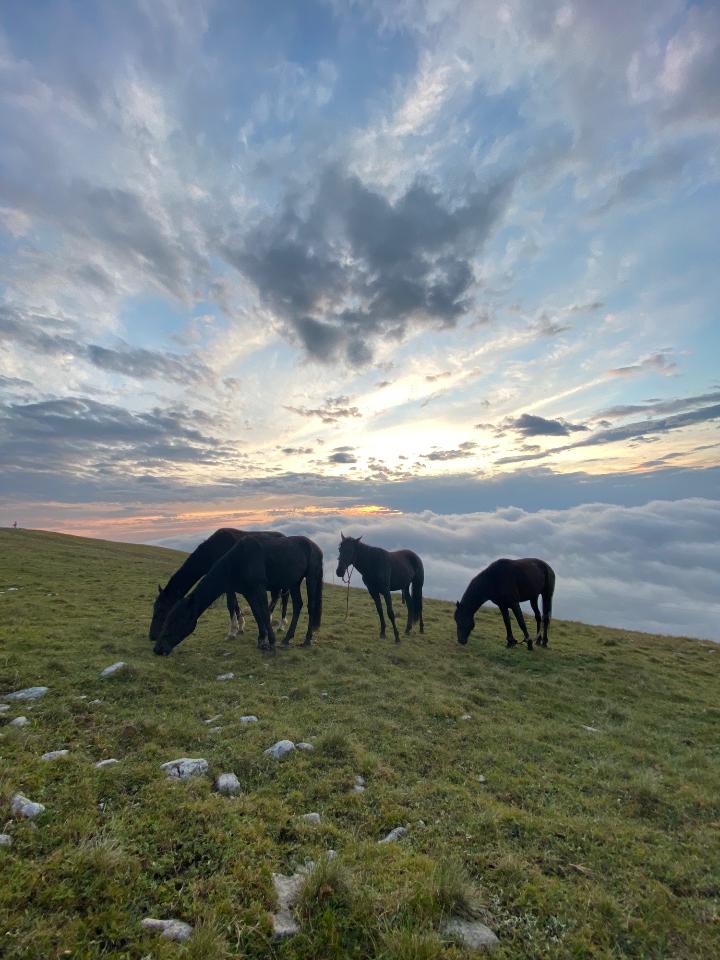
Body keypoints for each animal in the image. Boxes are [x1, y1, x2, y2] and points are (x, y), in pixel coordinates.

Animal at [148, 524, 288, 644]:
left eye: (161, 610)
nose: (152, 636)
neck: (213, 551)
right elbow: (235, 605)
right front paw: (240, 626)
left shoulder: (228, 585)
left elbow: (230, 604)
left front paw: (232, 631)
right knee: (276, 597)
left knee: (284, 599)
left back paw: (280, 625)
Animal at [155, 536, 324, 656]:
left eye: (176, 621)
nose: (157, 648)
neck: (238, 561)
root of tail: (317, 548)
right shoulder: (248, 592)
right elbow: (257, 614)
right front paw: (261, 640)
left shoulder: (259, 588)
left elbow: (264, 613)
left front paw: (271, 643)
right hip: (294, 582)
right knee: (298, 605)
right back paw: (287, 639)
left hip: (311, 577)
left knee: (310, 606)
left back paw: (307, 640)